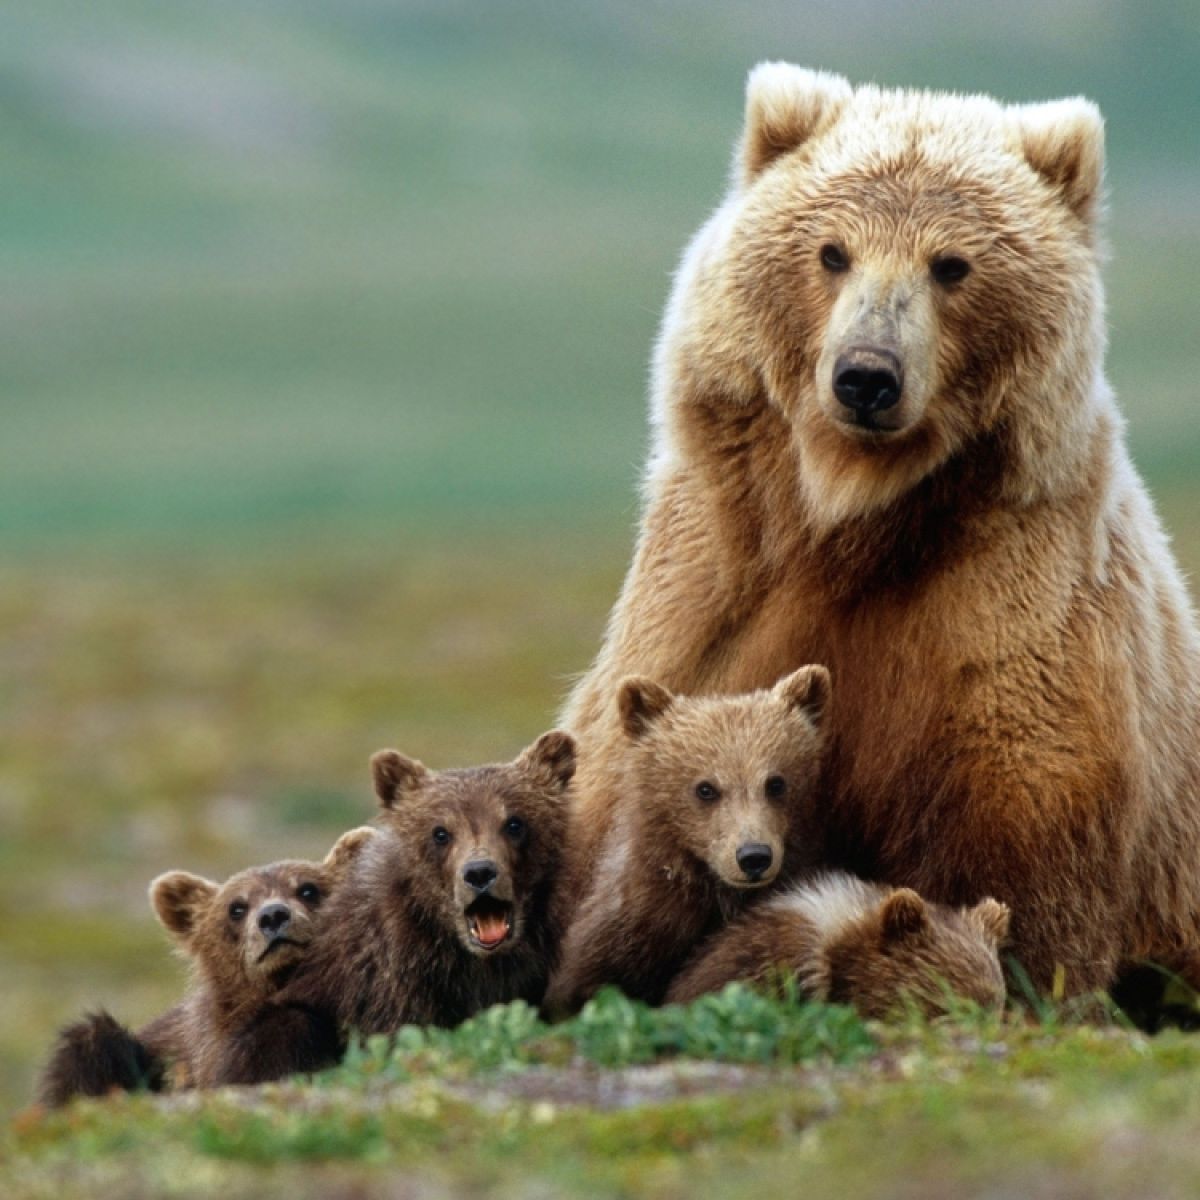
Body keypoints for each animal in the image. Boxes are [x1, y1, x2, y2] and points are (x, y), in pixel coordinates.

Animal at [562, 64, 1200, 1000]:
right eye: (832, 252)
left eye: (952, 264)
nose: (867, 375)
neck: (853, 518)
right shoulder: (713, 590)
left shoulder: (1007, 617)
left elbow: (1021, 864)